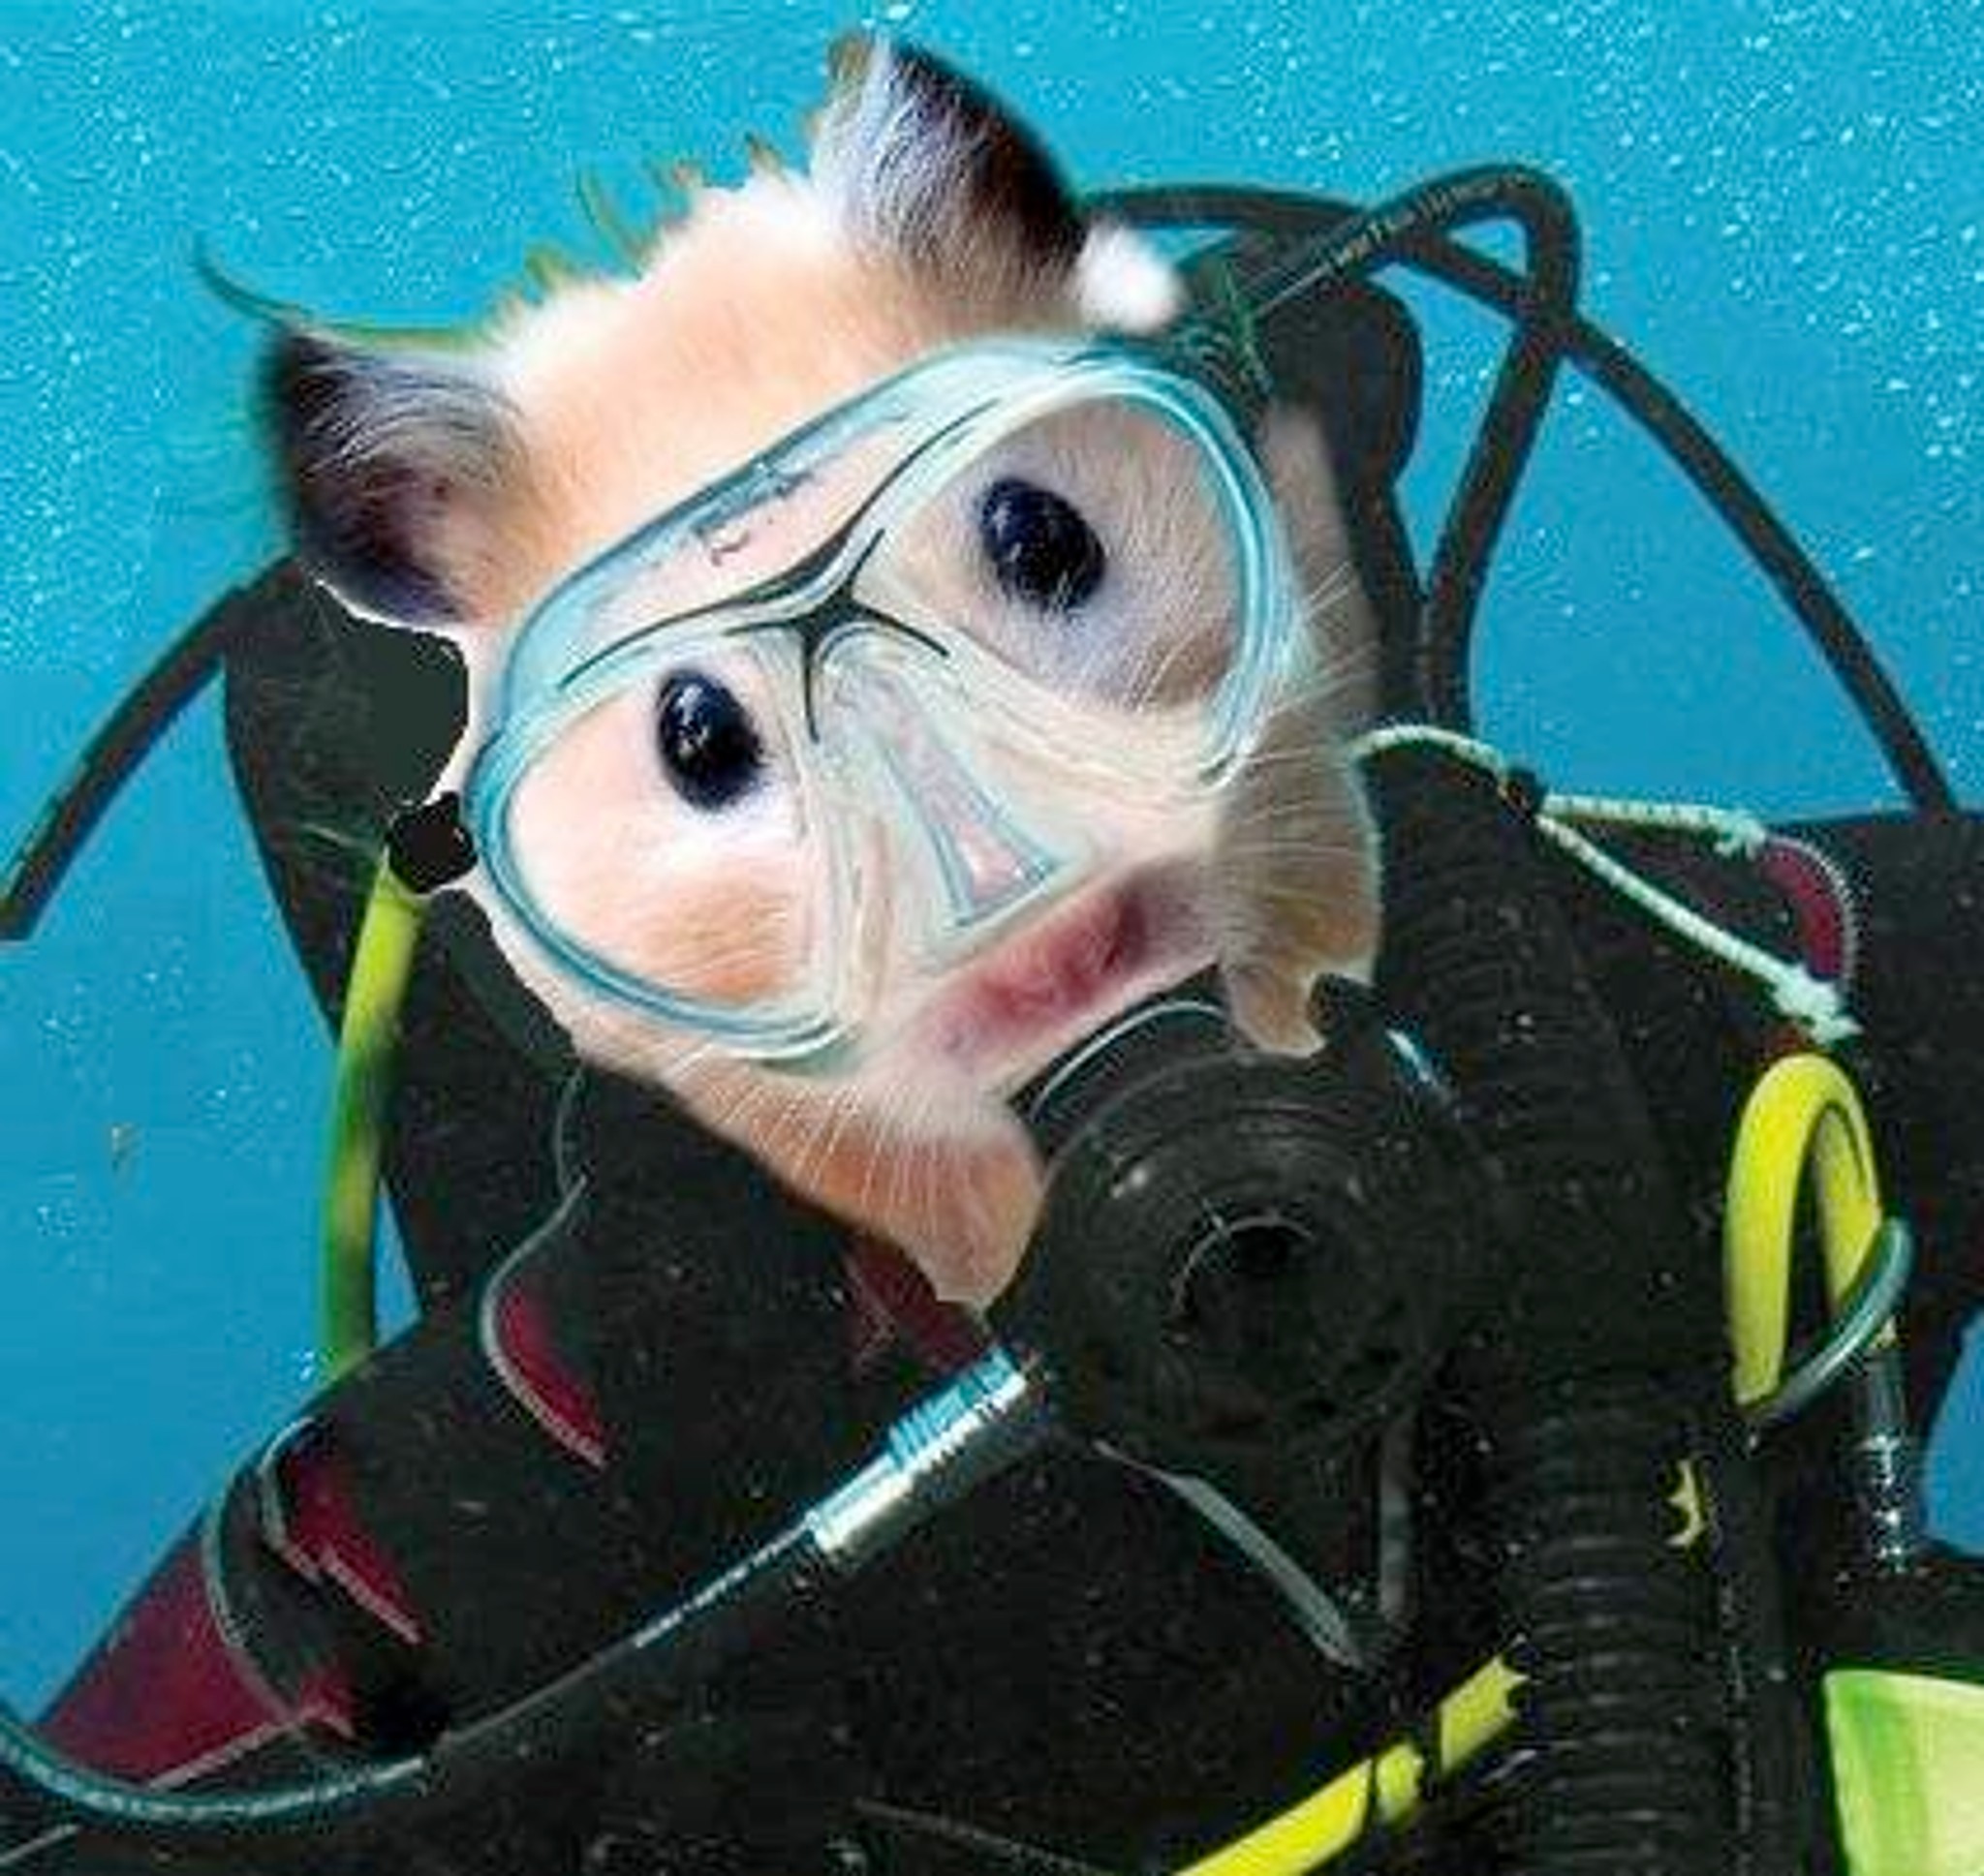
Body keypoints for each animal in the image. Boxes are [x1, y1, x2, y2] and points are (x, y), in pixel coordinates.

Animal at [262, 36, 1383, 1305]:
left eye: (1042, 538)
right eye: (695, 736)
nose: (1062, 965)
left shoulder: (1290, 712)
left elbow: (1312, 895)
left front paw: (1293, 1030)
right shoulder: (712, 1056)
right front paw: (983, 1264)